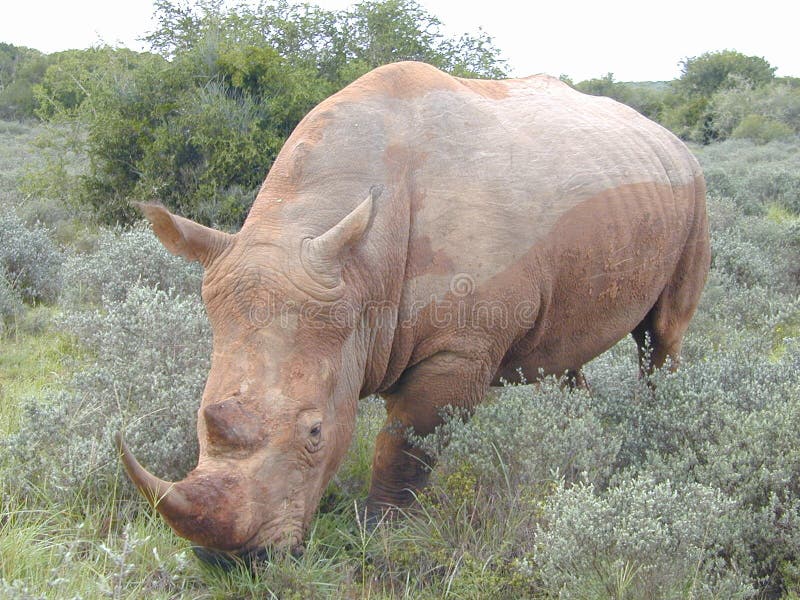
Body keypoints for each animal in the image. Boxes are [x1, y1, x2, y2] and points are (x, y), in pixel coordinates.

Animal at [116, 61, 710, 562]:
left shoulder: (455, 349)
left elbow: (403, 445)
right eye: (200, 417)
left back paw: (659, 423)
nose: (227, 561)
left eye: (315, 433)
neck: (358, 269)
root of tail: (667, 136)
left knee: (662, 334)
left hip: (695, 190)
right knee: (570, 347)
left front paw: (381, 535)